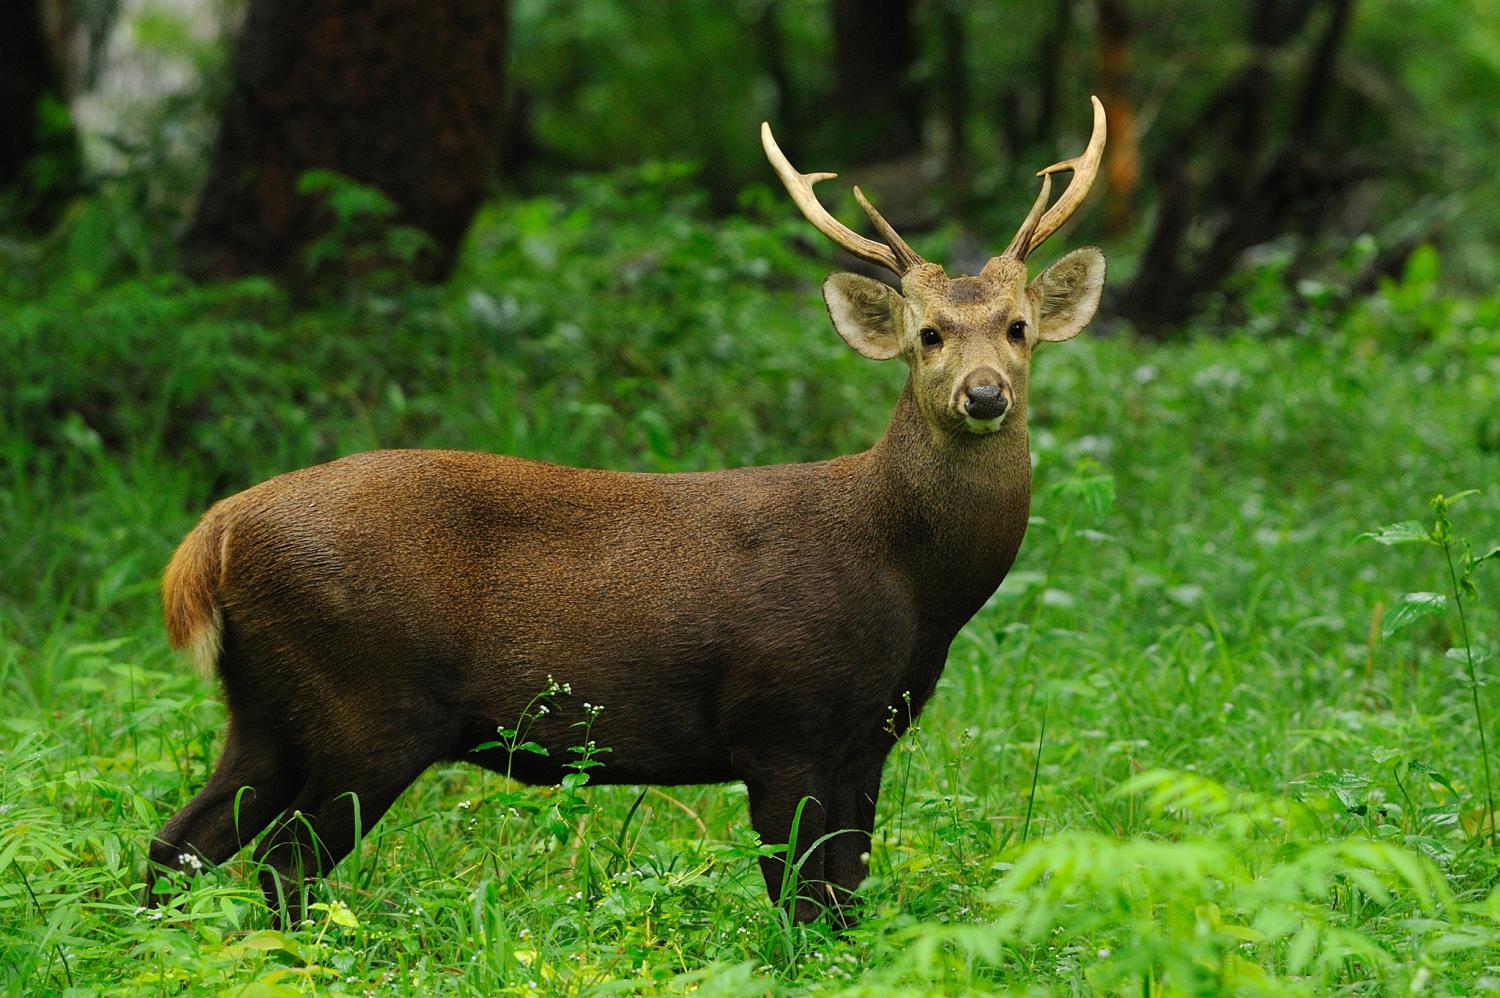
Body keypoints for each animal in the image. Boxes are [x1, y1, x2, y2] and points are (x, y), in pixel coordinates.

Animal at [146, 98, 1107, 925]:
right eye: (927, 336)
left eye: (1018, 328)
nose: (984, 394)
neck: (908, 581)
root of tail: (215, 532)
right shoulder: (779, 719)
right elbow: (802, 904)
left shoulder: (869, 736)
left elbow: (847, 895)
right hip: (367, 698)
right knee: (282, 861)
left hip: (266, 702)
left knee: (180, 841)